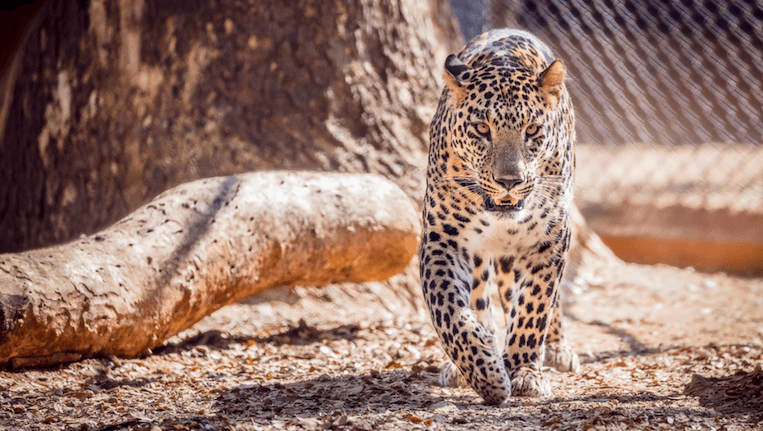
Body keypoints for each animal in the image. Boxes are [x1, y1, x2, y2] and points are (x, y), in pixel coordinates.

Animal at [419, 29, 580, 405]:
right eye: (481, 128)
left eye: (532, 130)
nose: (510, 181)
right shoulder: (442, 238)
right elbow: (447, 307)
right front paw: (486, 373)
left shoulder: (549, 239)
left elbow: (534, 307)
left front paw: (522, 371)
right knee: (479, 300)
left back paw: (557, 349)